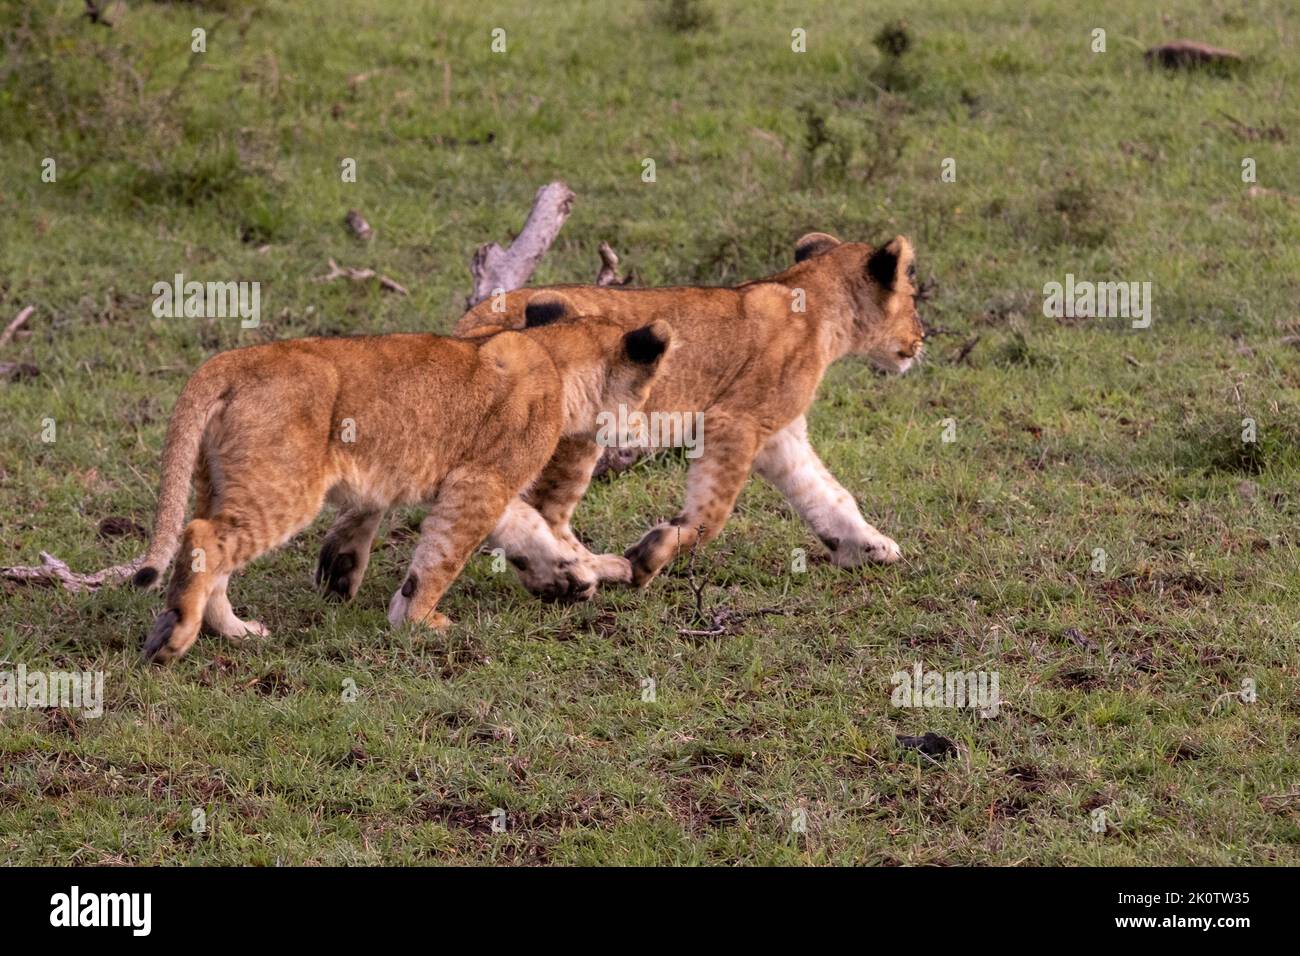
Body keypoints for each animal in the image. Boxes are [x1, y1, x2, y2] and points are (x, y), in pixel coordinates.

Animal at [132, 312, 674, 663]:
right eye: (647, 388)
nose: (639, 426)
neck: (556, 359)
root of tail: (233, 360)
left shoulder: (484, 482)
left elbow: (531, 530)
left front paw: (574, 575)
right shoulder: (480, 482)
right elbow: (442, 557)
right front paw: (417, 621)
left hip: (221, 484)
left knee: (214, 551)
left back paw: (238, 633)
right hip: (283, 487)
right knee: (203, 536)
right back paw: (176, 638)